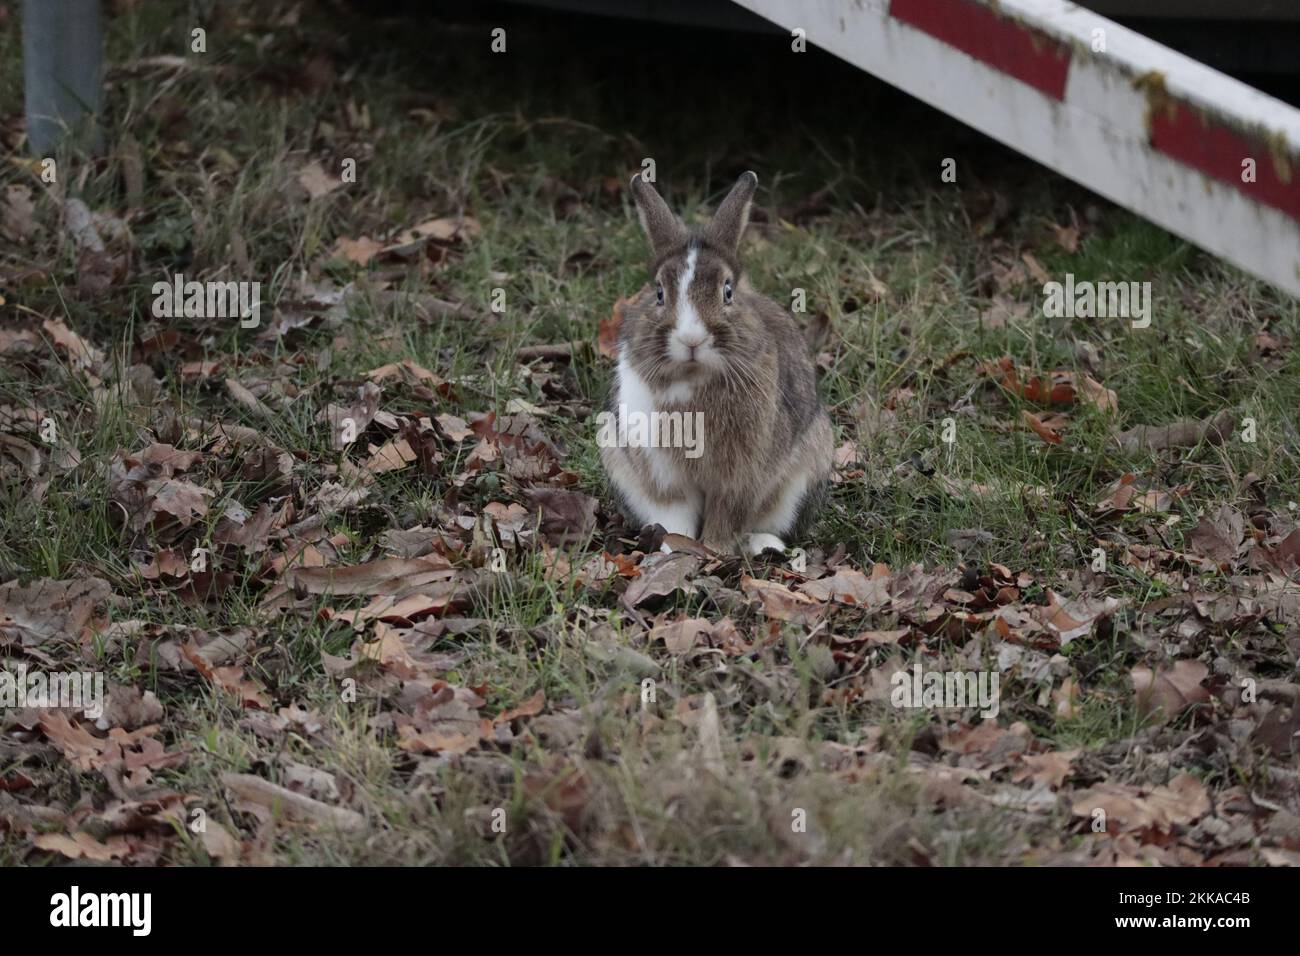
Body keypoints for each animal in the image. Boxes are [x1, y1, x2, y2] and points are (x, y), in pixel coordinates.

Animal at [600, 170, 833, 556]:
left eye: (727, 291)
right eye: (659, 293)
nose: (691, 339)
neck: (693, 377)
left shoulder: (741, 474)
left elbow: (728, 512)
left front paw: (715, 551)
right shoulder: (662, 471)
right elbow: (675, 511)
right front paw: (677, 548)